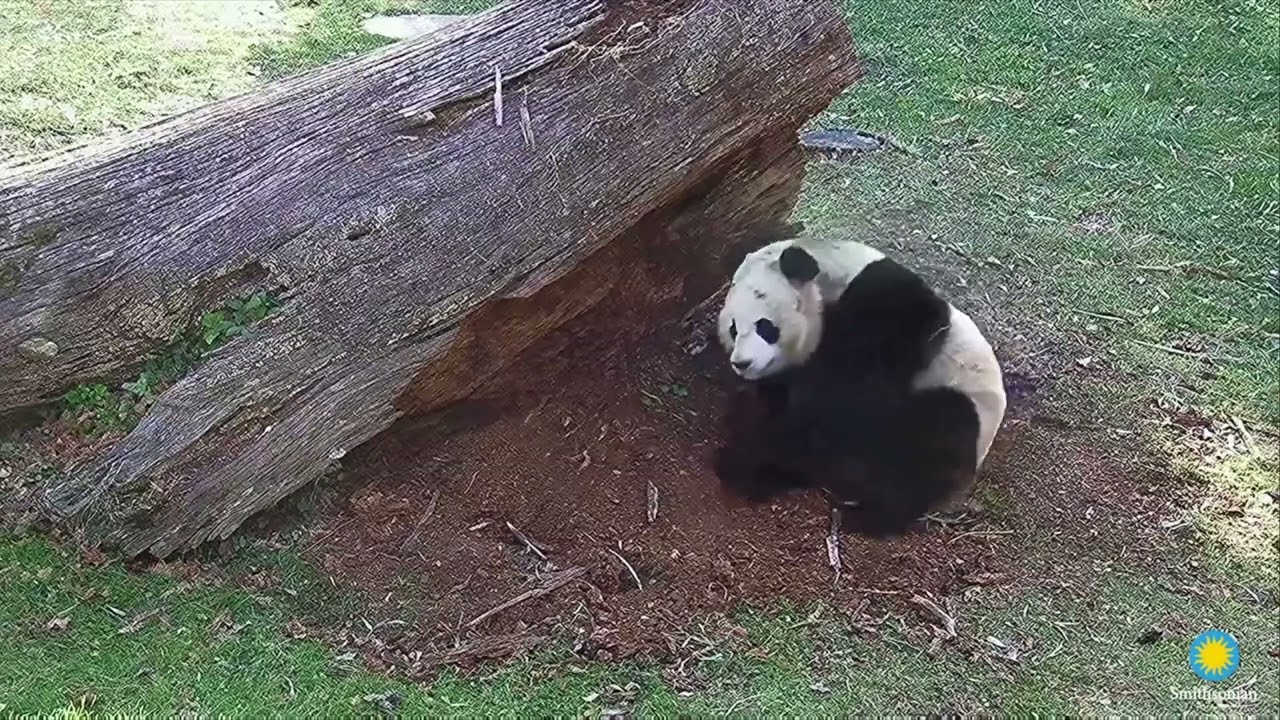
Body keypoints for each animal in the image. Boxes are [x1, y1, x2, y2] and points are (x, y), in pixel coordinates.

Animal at [711, 234, 1007, 537]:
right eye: (733, 328)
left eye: (764, 326)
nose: (742, 363)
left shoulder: (885, 316)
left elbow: (838, 398)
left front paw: (744, 455)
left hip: (958, 405)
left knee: (926, 449)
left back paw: (872, 517)